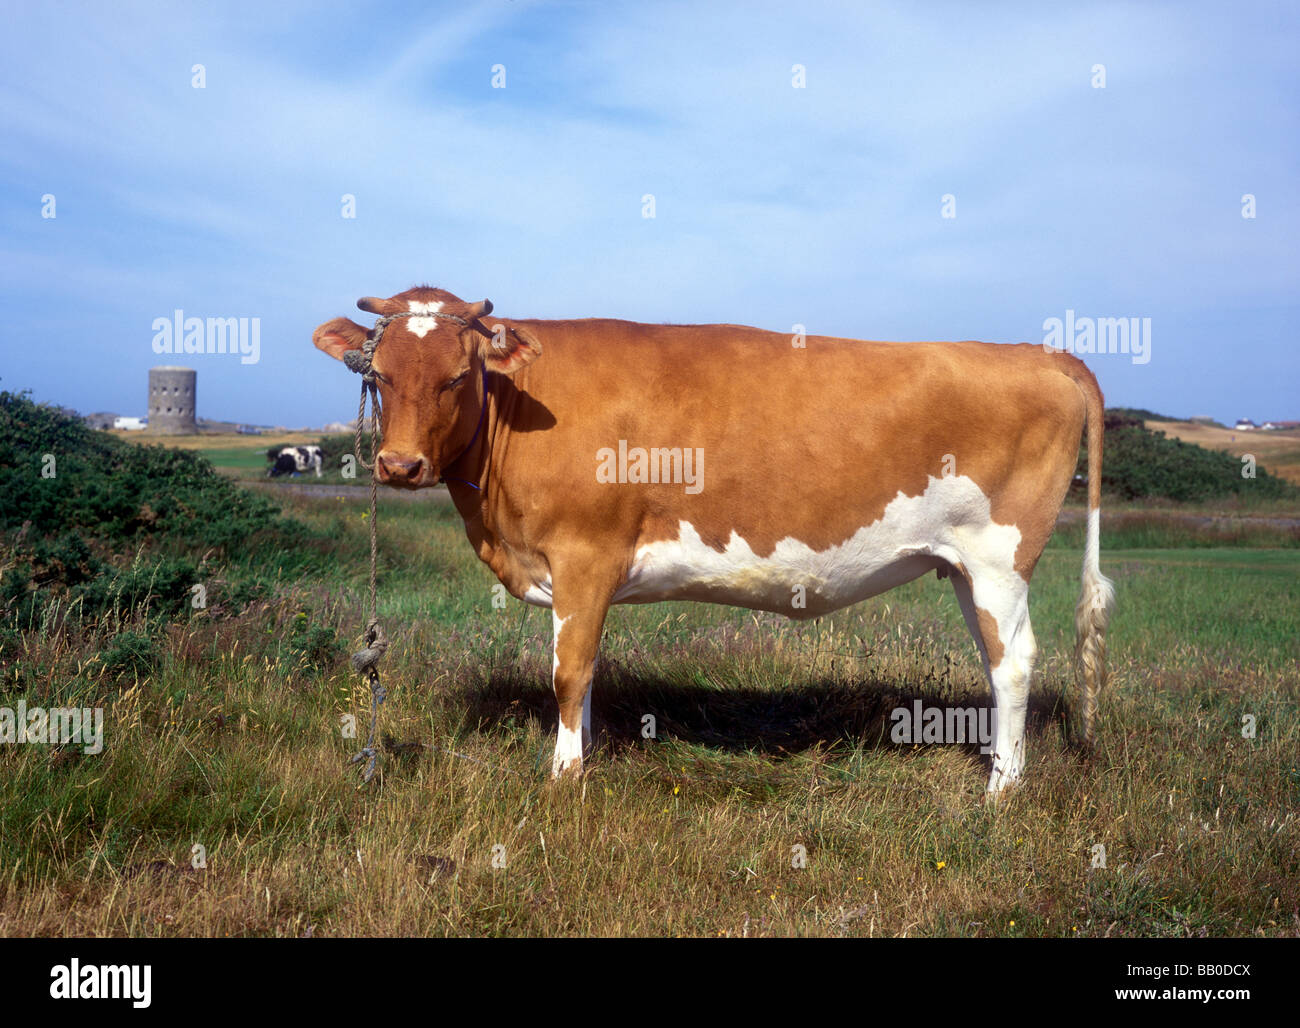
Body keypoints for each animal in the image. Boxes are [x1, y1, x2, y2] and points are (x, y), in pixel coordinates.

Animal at [313, 286, 1114, 791]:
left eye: (457, 377)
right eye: (380, 375)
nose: (398, 465)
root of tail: (1039, 353)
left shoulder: (582, 554)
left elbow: (569, 673)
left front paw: (563, 776)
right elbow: (589, 669)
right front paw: (583, 757)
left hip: (1000, 556)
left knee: (1016, 663)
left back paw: (1002, 790)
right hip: (962, 566)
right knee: (994, 658)